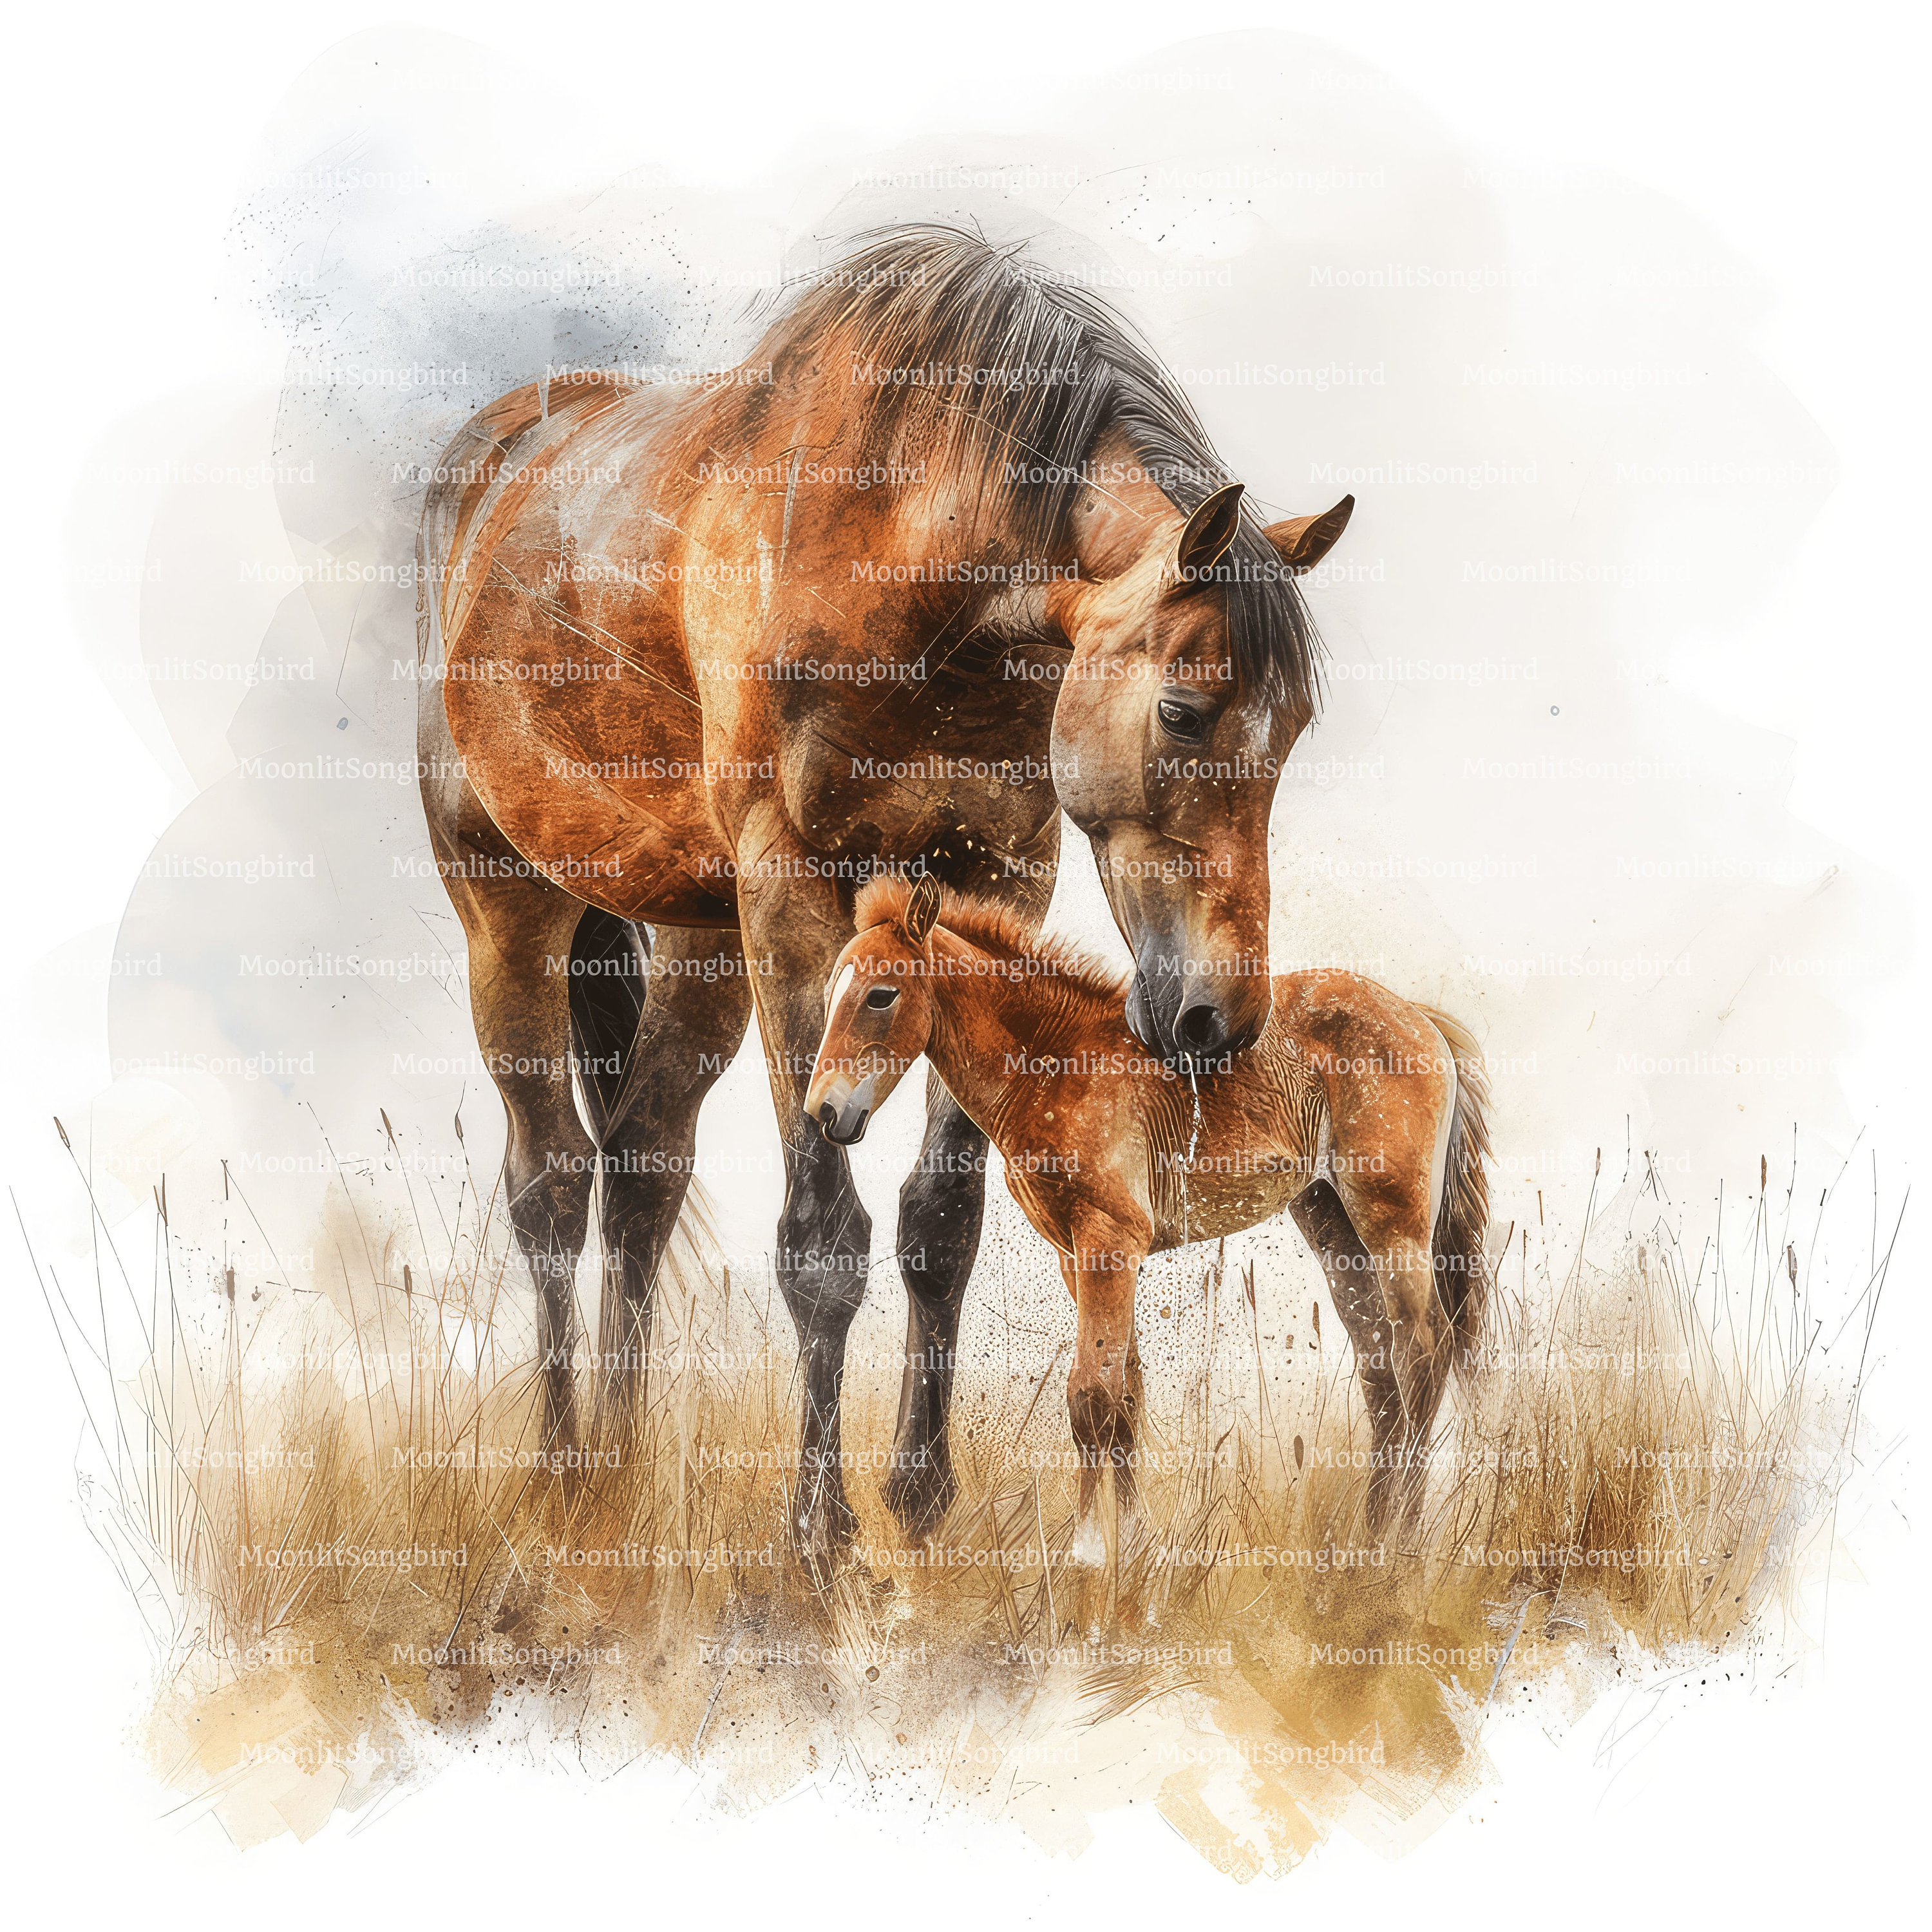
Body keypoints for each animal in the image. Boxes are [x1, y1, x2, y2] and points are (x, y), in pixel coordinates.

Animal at [413, 224, 1353, 1577]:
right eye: (1182, 711)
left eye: (1297, 731)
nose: (1216, 1023)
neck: (906, 550)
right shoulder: (793, 892)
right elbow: (823, 1238)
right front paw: (819, 1535)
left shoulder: (997, 871)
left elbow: (939, 1224)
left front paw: (920, 1500)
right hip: (511, 914)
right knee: (548, 1185)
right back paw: (561, 1483)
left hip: (699, 938)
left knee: (640, 1177)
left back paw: (623, 1473)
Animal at [805, 873, 1493, 1549]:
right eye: (833, 992)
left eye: (880, 996)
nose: (824, 1113)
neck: (1057, 1063)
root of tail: (1421, 1019)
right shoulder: (1078, 1254)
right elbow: (1125, 1397)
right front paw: (1134, 1545)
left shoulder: (1109, 1243)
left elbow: (1090, 1396)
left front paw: (1087, 1550)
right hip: (1333, 1222)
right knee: (1382, 1371)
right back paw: (1369, 1540)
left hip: (1393, 1221)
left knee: (1423, 1351)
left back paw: (1406, 1542)